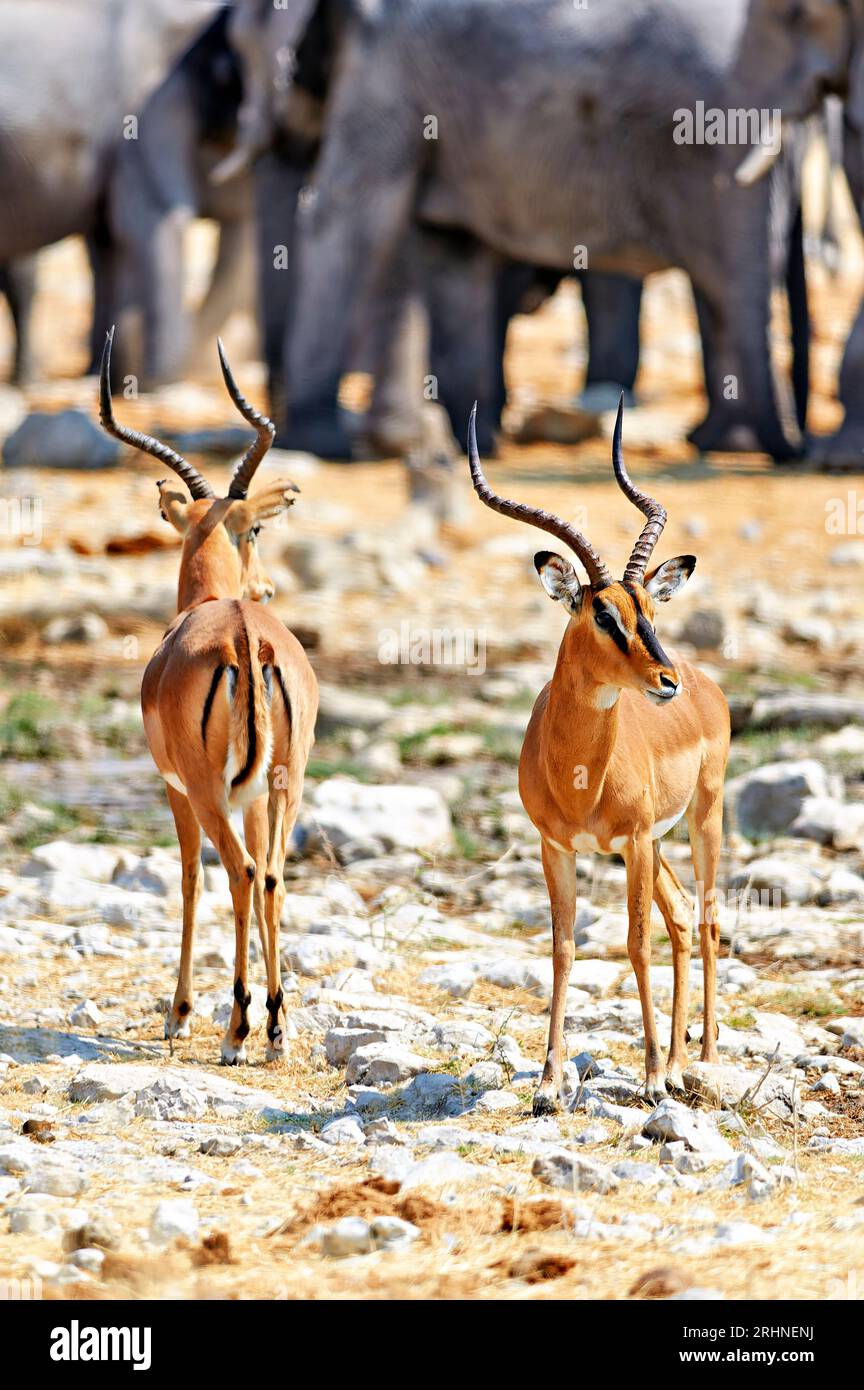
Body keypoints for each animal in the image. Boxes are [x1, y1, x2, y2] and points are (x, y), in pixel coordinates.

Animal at [99, 328, 318, 1065]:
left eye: (255, 529)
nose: (268, 588)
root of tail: (245, 634)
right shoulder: (250, 794)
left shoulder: (177, 788)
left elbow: (190, 878)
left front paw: (179, 1013)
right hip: (284, 782)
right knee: (272, 875)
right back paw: (275, 1029)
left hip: (208, 790)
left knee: (240, 873)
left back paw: (236, 1030)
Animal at [467, 400, 730, 1114]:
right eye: (604, 615)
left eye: (647, 611)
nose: (665, 681)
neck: (579, 775)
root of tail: (709, 684)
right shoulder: (556, 846)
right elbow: (562, 949)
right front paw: (548, 1086)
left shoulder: (632, 840)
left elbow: (635, 944)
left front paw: (649, 1078)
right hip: (658, 844)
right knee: (680, 918)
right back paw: (679, 1063)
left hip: (701, 822)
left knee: (705, 919)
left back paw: (697, 1065)